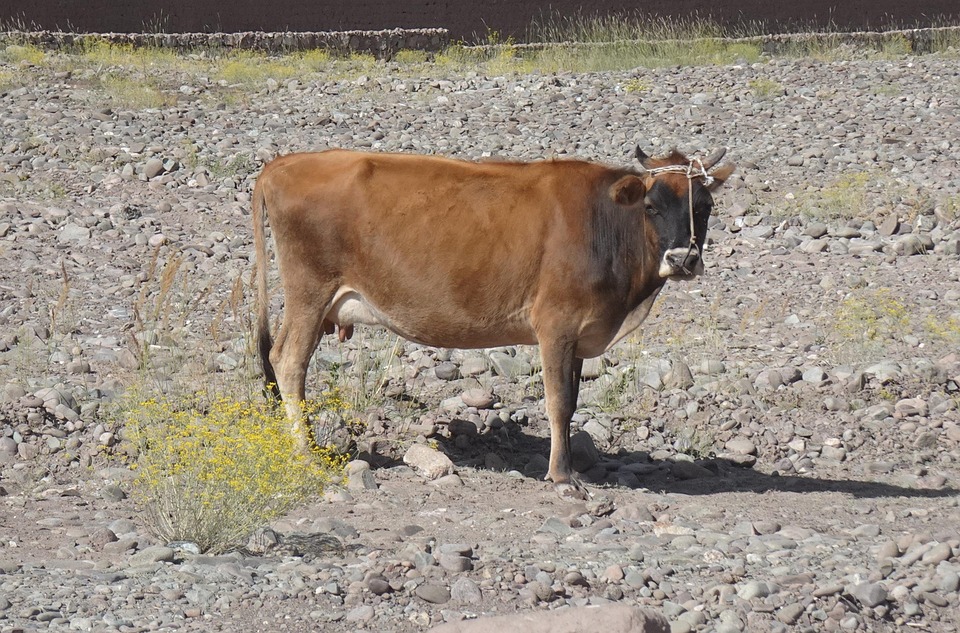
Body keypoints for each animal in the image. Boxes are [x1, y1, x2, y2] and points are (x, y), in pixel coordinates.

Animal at [253, 147, 735, 496]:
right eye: (652, 206)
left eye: (706, 206)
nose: (684, 259)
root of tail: (284, 162)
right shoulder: (556, 323)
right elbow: (559, 403)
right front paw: (563, 477)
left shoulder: (579, 334)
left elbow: (573, 401)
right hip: (309, 292)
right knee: (289, 362)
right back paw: (307, 453)